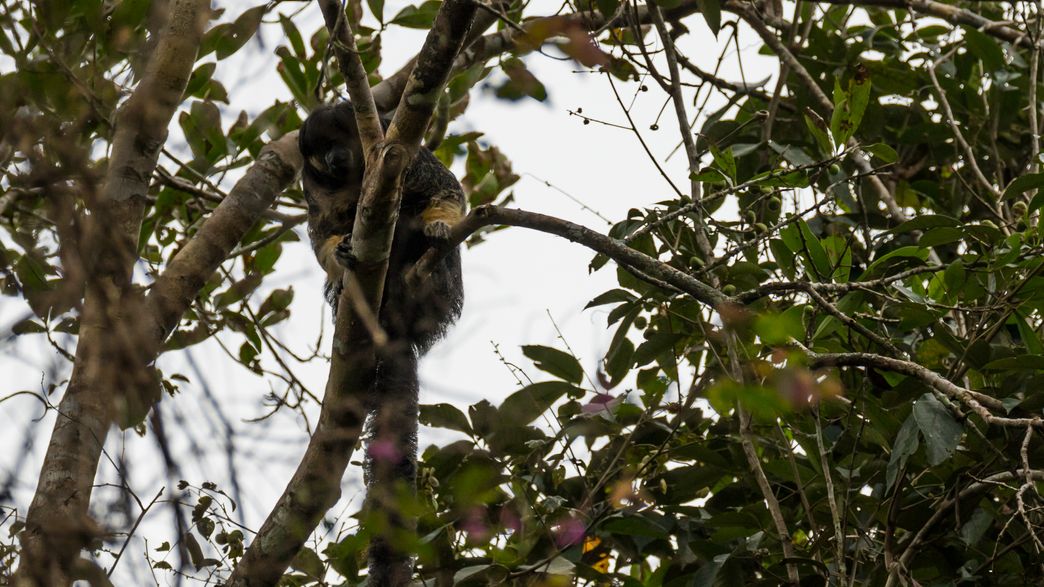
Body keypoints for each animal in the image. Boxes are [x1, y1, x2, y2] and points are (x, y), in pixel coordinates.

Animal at [298, 102, 465, 584]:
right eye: (319, 152)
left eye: (338, 141)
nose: (333, 158)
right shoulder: (314, 192)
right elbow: (322, 236)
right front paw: (338, 256)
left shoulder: (404, 153)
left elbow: (444, 189)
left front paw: (439, 225)